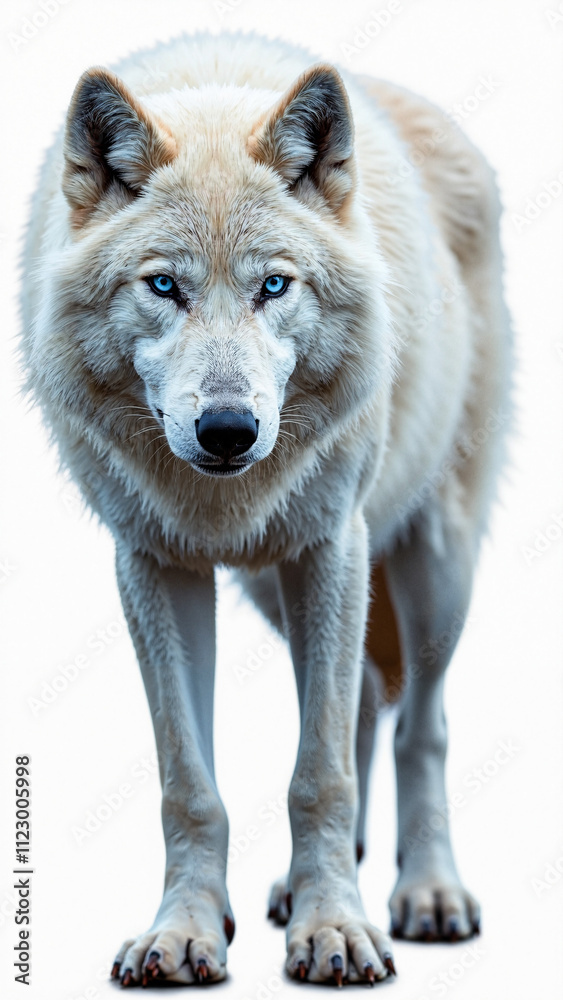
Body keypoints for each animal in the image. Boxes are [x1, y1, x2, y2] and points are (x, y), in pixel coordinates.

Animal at [21, 31, 512, 987]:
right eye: (163, 287)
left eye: (274, 286)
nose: (226, 429)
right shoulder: (155, 565)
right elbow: (189, 784)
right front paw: (185, 932)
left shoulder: (331, 546)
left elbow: (318, 773)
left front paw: (338, 932)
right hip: (275, 591)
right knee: (365, 698)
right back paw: (304, 884)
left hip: (433, 568)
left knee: (420, 724)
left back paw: (426, 893)